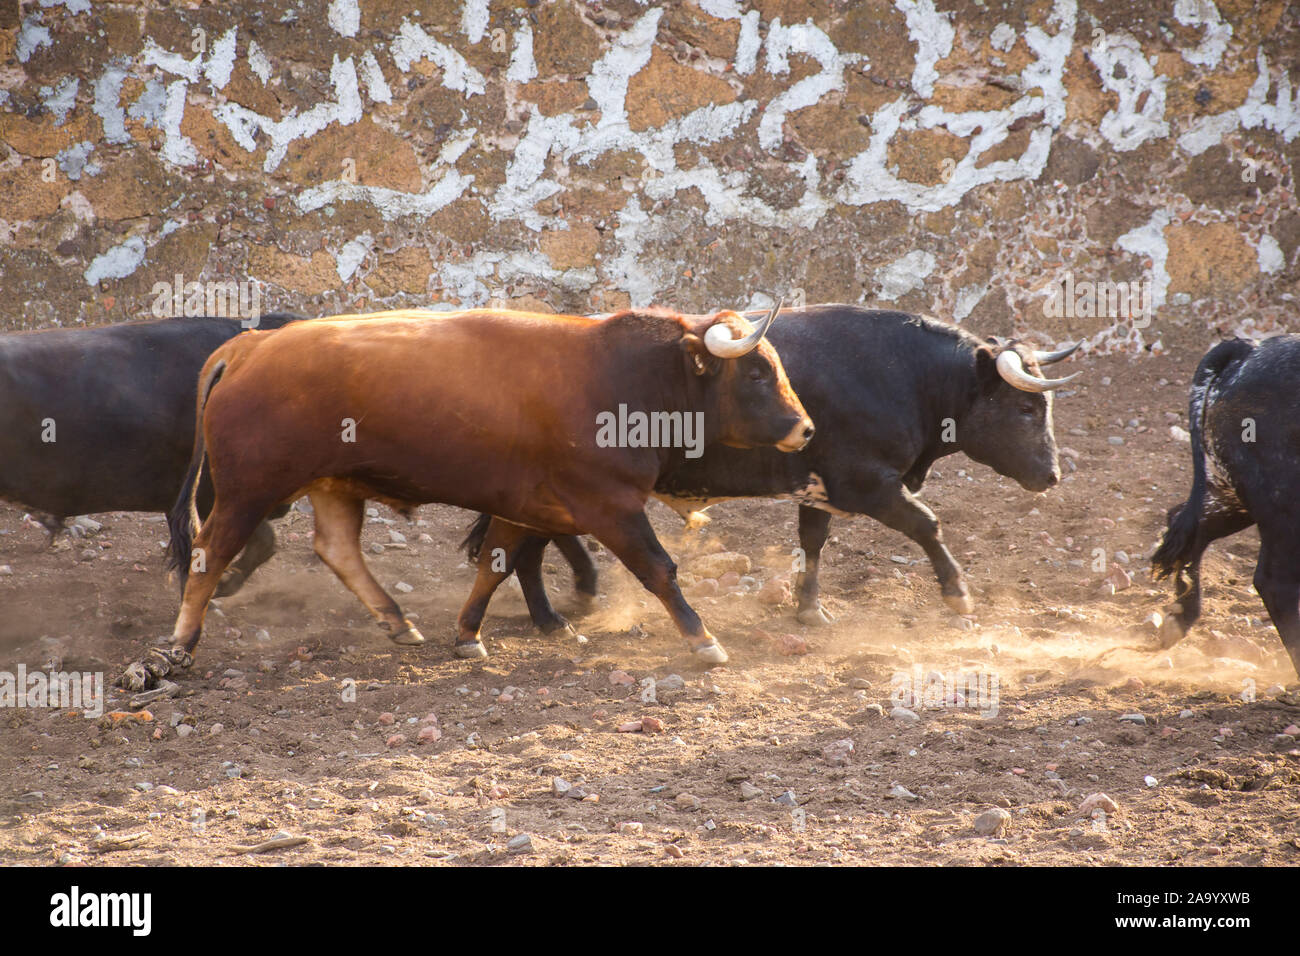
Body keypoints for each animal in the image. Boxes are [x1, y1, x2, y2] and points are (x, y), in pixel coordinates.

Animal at [121, 303, 813, 690]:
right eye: (757, 372)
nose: (805, 429)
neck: (624, 376)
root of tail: (250, 346)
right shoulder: (610, 506)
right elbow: (659, 570)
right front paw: (703, 640)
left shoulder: (525, 505)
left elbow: (496, 565)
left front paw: (467, 632)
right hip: (248, 491)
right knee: (209, 557)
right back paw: (178, 648)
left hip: (332, 486)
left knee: (337, 548)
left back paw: (397, 621)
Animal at [463, 305, 1078, 636]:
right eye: (1026, 408)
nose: (1051, 476)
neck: (904, 376)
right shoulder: (869, 485)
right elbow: (928, 525)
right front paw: (957, 595)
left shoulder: (819, 488)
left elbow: (813, 542)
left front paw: (810, 610)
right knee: (528, 548)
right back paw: (554, 613)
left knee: (532, 546)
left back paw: (561, 608)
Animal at [1152, 335, 1300, 675]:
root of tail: (1248, 351)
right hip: (1283, 504)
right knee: (1275, 583)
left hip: (1231, 495)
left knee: (1188, 526)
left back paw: (1179, 616)